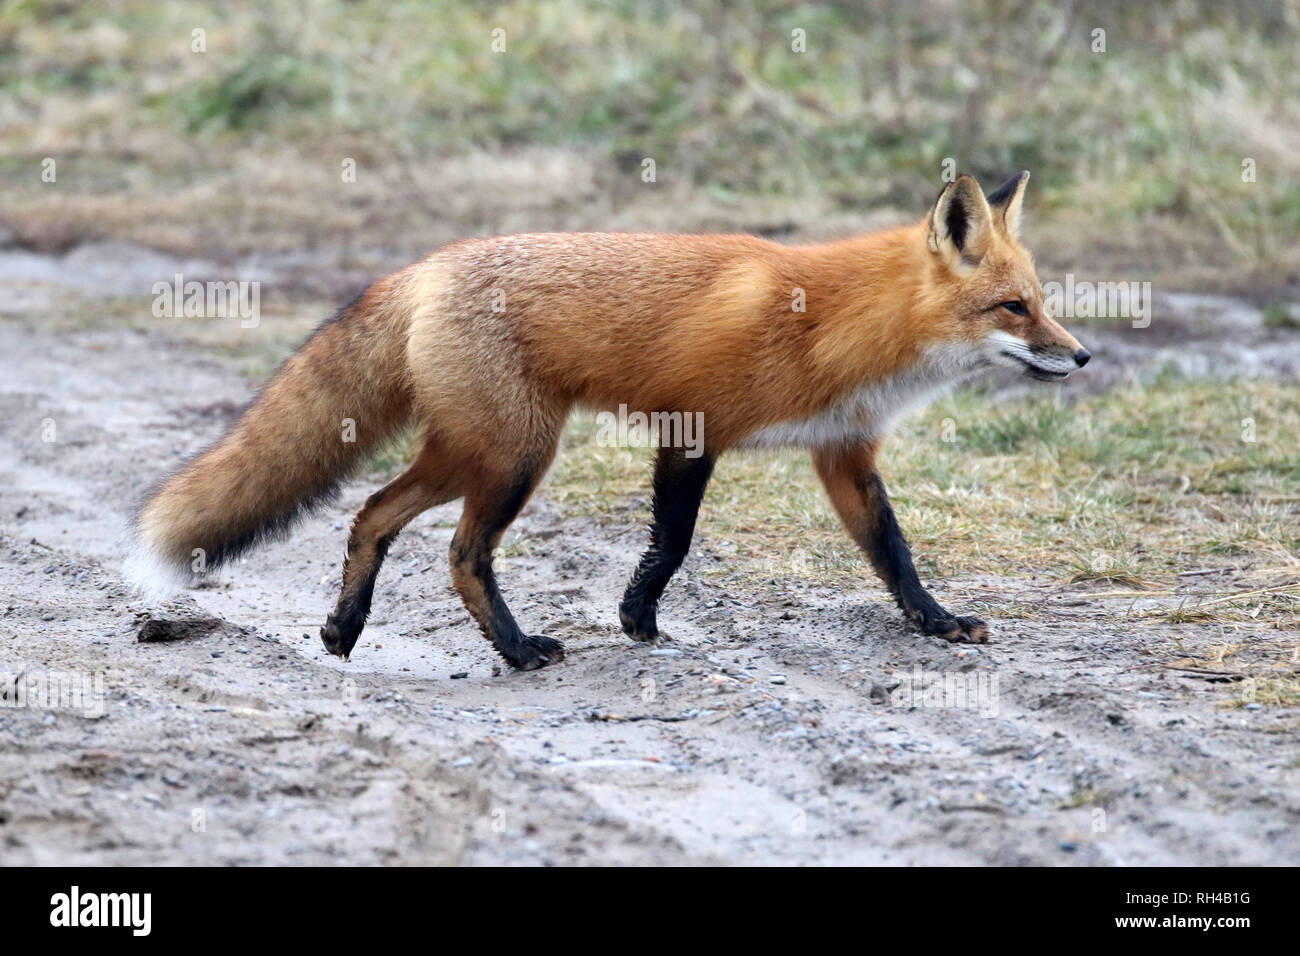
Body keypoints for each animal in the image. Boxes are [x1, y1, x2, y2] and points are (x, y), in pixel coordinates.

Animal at [127, 171, 1089, 670]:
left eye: (1043, 302)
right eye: (1013, 308)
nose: (1081, 358)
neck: (834, 323)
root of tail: (427, 266)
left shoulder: (842, 454)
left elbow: (893, 552)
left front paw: (936, 623)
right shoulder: (693, 427)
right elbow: (672, 542)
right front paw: (637, 620)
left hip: (474, 451)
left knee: (370, 514)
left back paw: (343, 629)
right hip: (516, 456)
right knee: (460, 553)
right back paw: (518, 651)